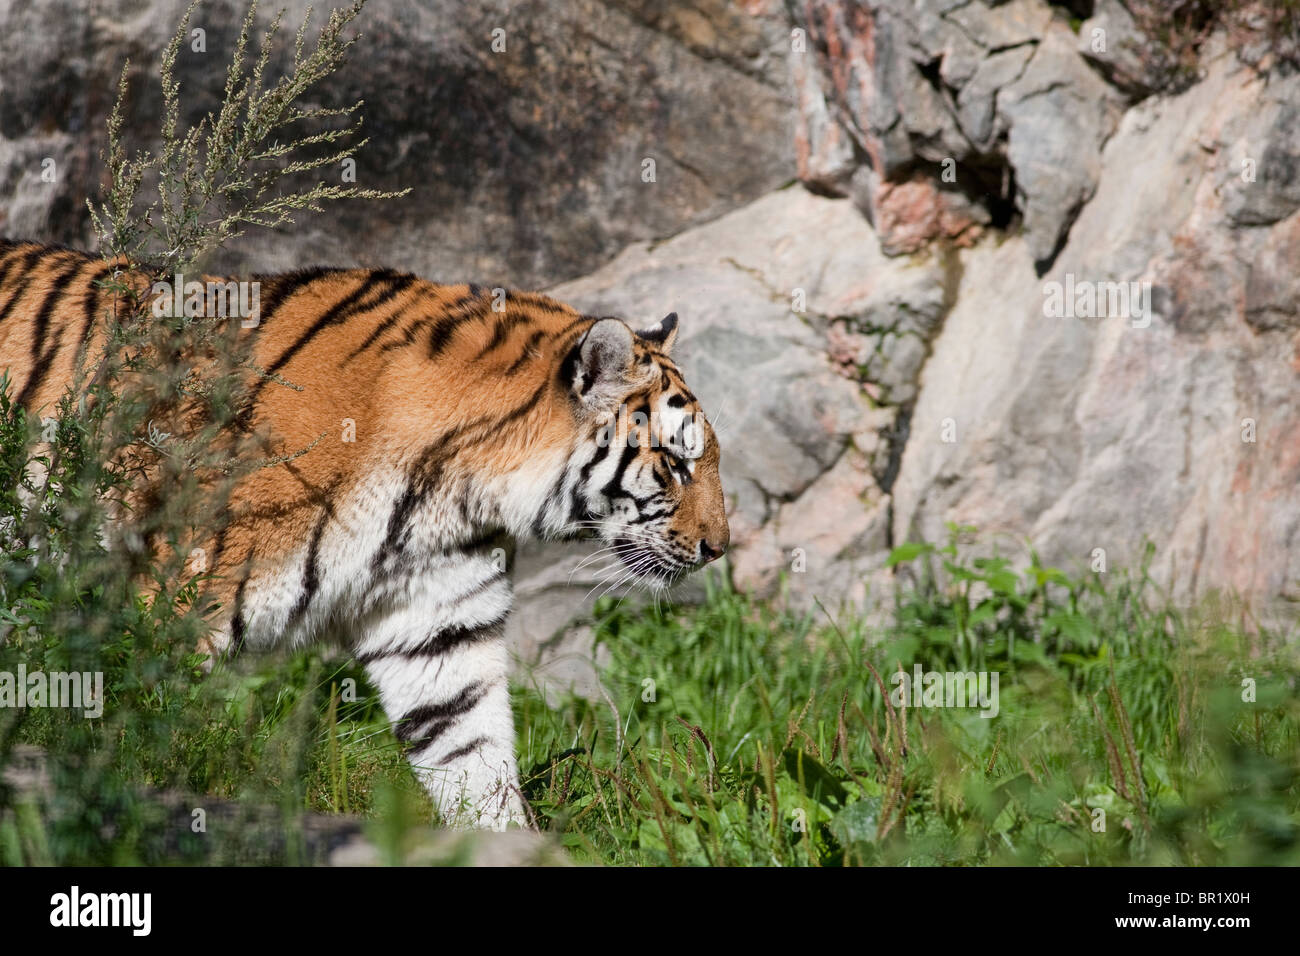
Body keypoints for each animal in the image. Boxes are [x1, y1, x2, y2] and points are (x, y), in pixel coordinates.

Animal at [0, 239, 729, 829]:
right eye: (676, 463)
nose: (718, 548)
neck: (452, 490)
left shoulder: (441, 627)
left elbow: (476, 761)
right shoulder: (163, 614)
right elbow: (130, 740)